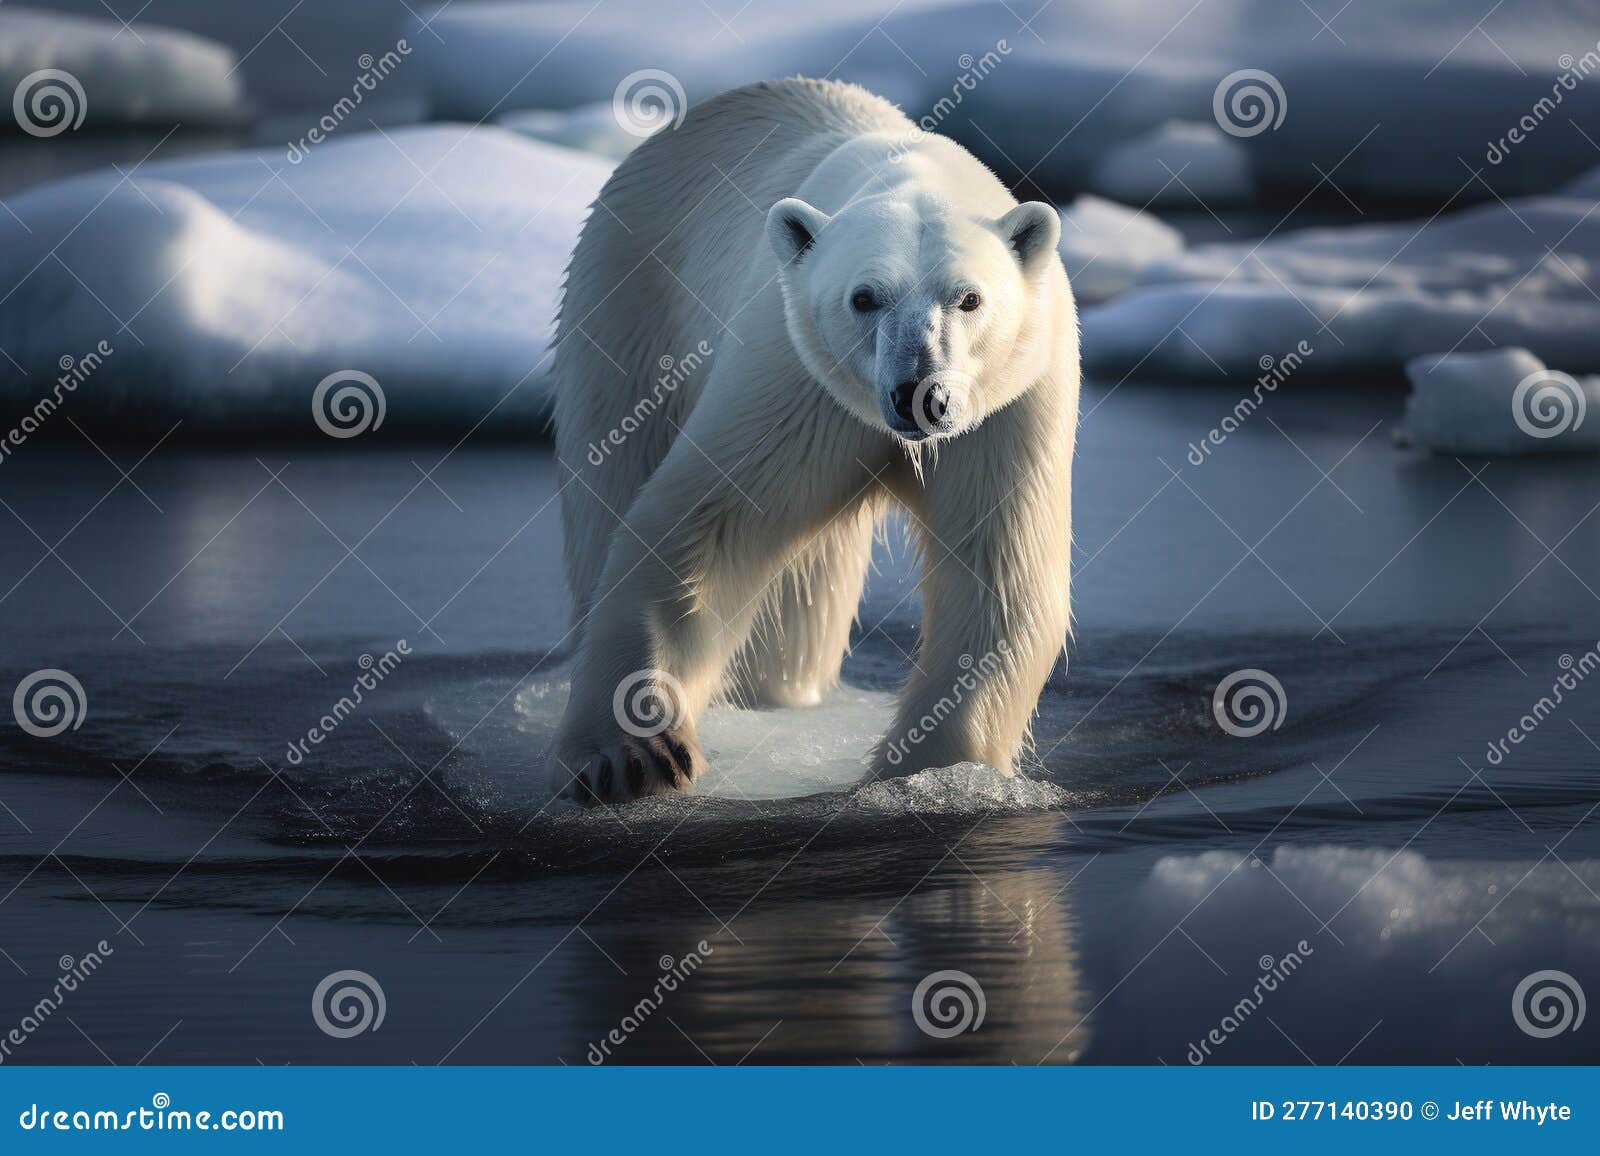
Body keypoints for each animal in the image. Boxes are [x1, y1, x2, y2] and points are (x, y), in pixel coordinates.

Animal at [550, 77, 1078, 803]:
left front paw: (933, 771)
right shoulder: (793, 372)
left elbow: (998, 569)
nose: (921, 394)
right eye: (864, 297)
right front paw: (635, 753)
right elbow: (705, 526)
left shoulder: (1008, 406)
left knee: (808, 591)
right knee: (609, 481)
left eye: (969, 298)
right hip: (628, 302)